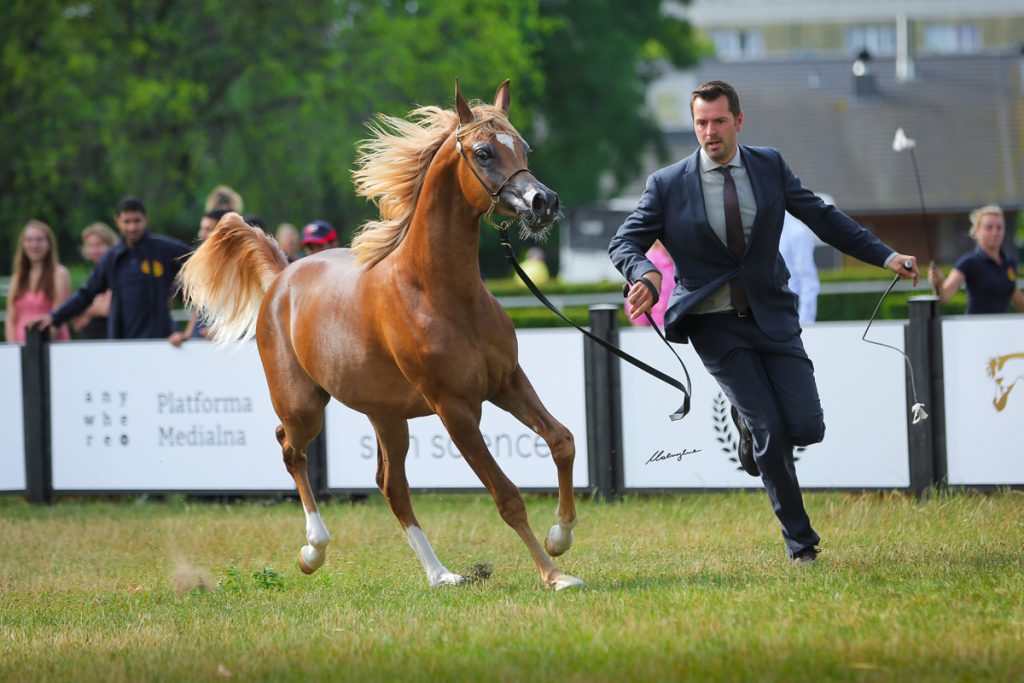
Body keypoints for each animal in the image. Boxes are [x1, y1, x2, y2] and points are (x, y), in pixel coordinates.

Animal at [178, 81, 582, 590]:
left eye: (525, 148)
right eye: (484, 152)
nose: (543, 202)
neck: (442, 294)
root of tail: (281, 276)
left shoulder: (507, 382)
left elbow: (562, 440)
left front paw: (560, 537)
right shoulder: (455, 408)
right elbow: (506, 495)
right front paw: (555, 574)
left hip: (387, 417)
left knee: (391, 486)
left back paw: (440, 574)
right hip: (304, 406)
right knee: (290, 448)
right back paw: (313, 550)